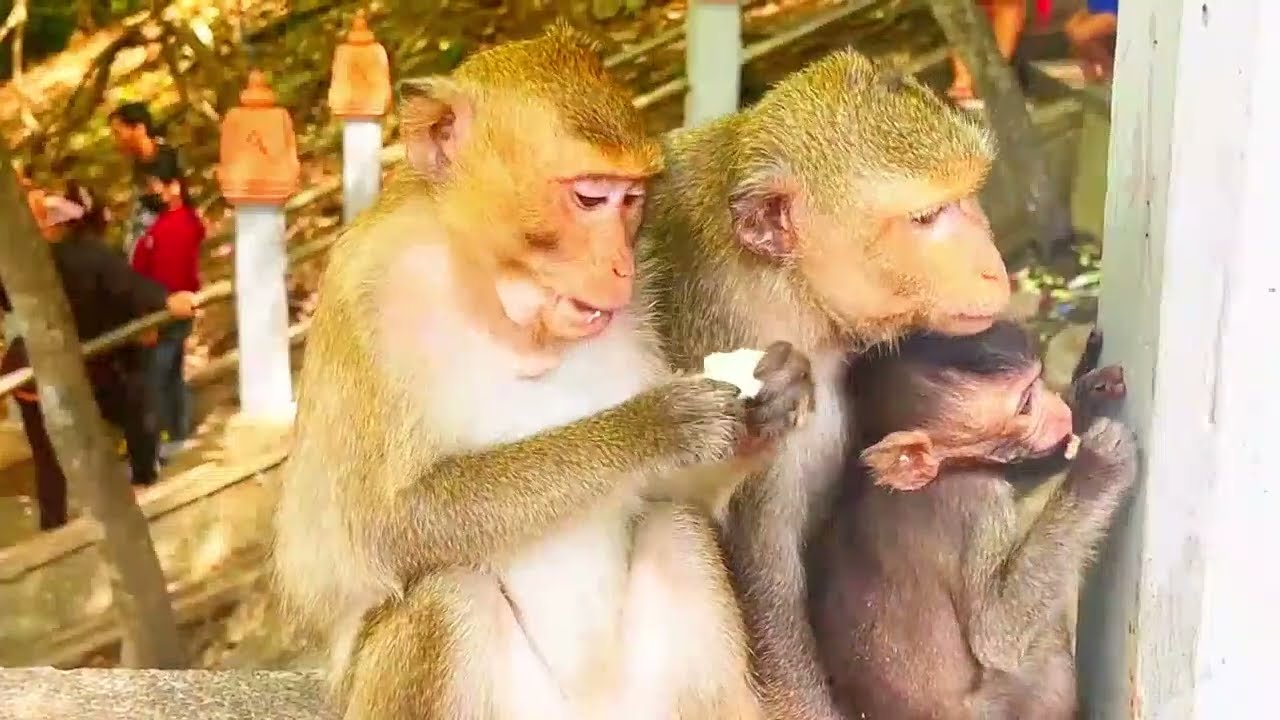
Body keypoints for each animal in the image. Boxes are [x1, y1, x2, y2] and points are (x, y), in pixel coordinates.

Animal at [272, 25, 812, 719]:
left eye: (632, 200)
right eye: (589, 197)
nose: (620, 265)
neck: (504, 310)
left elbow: (675, 497)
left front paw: (771, 403)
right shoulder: (363, 298)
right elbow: (377, 530)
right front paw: (648, 429)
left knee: (680, 530)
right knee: (445, 596)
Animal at [638, 48, 1013, 718]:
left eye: (968, 198)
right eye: (925, 218)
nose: (993, 269)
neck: (783, 282)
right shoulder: (765, 373)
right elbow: (767, 576)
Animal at [806, 320, 1138, 719]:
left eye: (1038, 382)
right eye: (1026, 404)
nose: (1059, 411)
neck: (942, 473)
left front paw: (1086, 398)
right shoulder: (975, 501)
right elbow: (995, 633)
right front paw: (1097, 468)